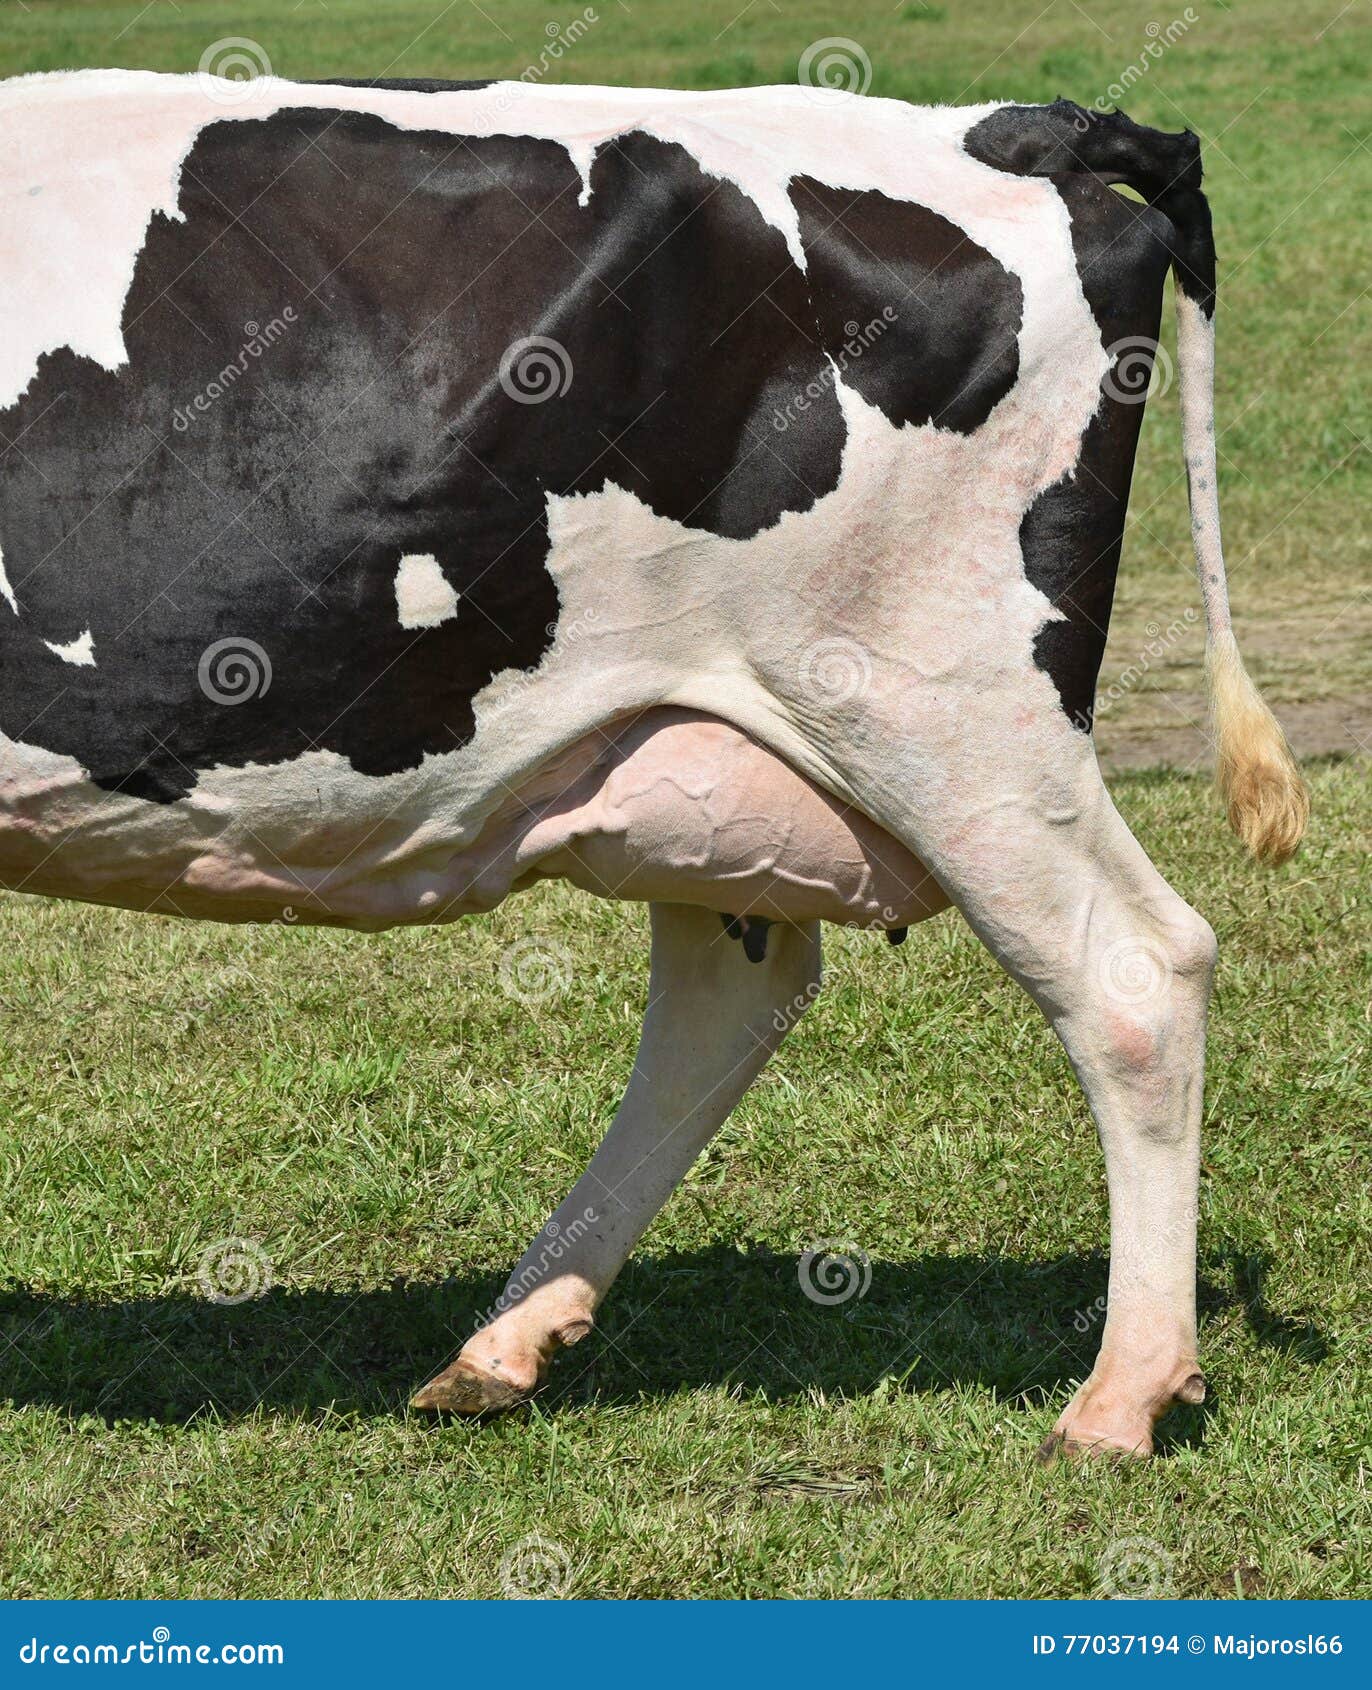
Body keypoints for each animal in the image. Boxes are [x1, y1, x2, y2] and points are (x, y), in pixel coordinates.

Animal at [0, 71, 1307, 1457]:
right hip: (713, 741)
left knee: (1136, 969)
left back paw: (1122, 1395)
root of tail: (1004, 124)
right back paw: (505, 1341)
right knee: (729, 993)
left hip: (949, 709)